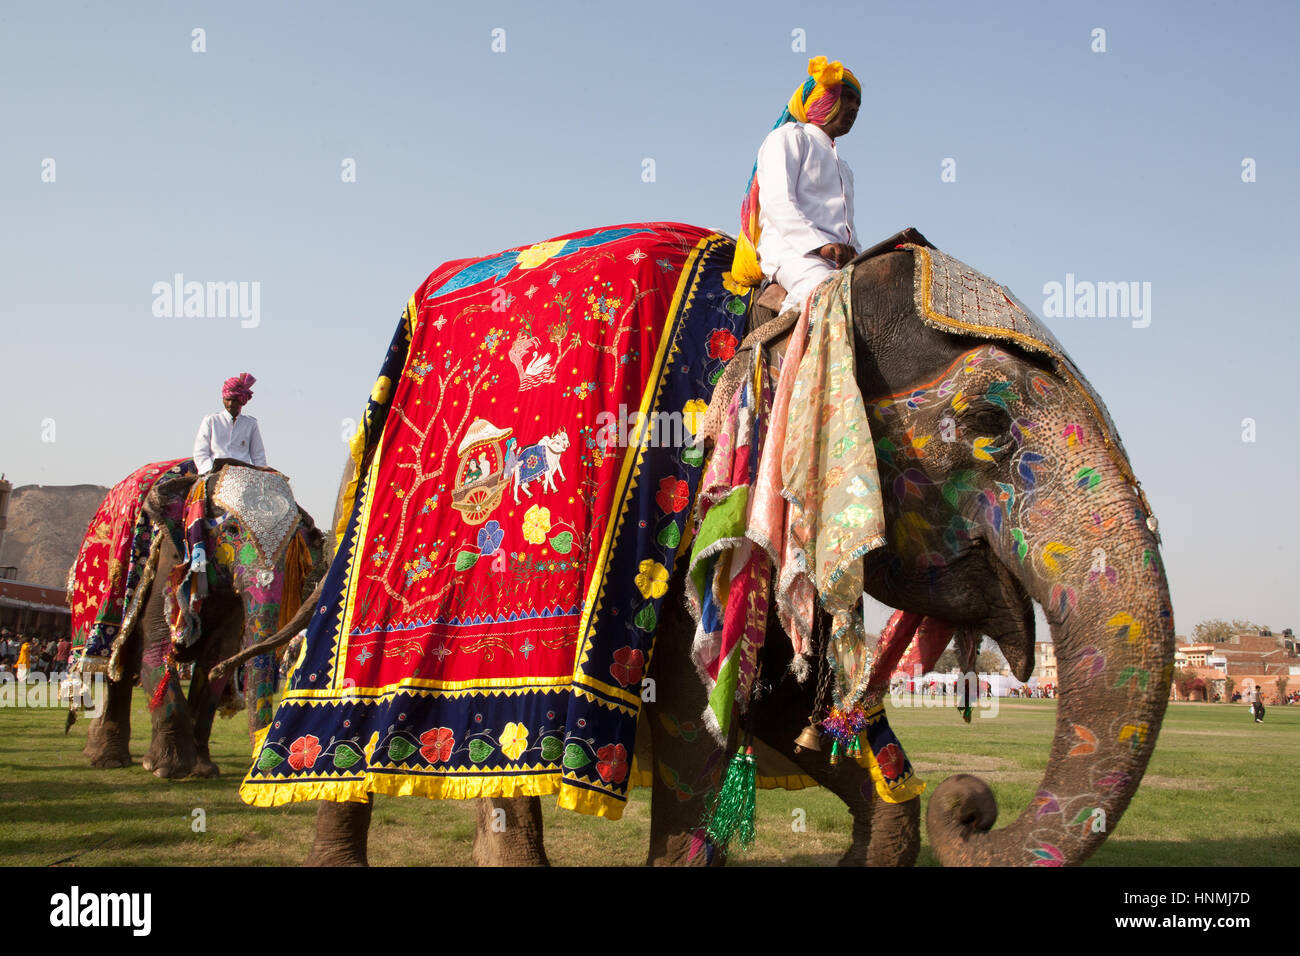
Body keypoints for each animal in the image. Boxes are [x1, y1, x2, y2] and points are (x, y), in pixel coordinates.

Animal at [80, 460, 326, 778]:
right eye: (232, 529)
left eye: (294, 544)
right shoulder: (166, 565)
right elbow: (156, 650)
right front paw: (166, 769)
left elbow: (216, 657)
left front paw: (202, 770)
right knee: (115, 668)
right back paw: (107, 759)